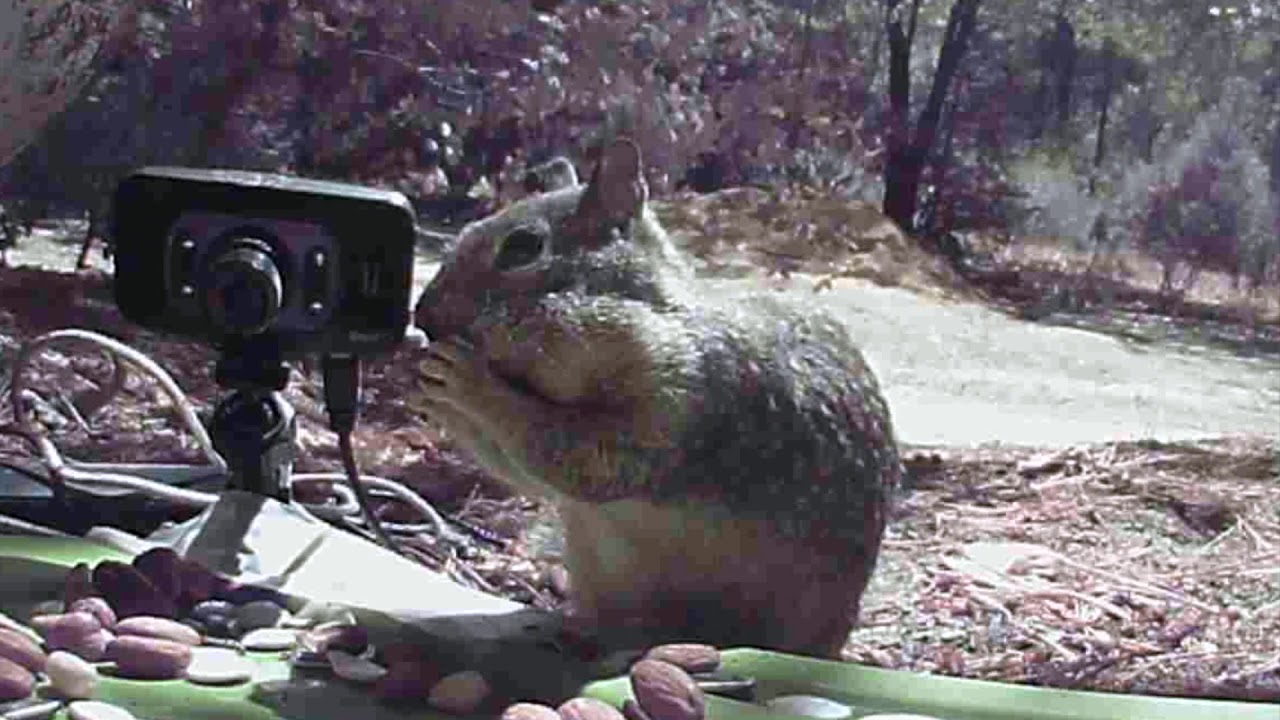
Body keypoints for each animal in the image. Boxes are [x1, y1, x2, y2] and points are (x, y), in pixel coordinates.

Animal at [411, 137, 903, 659]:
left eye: (522, 247)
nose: (423, 317)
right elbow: (528, 473)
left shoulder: (684, 398)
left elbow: (578, 455)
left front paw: (467, 382)